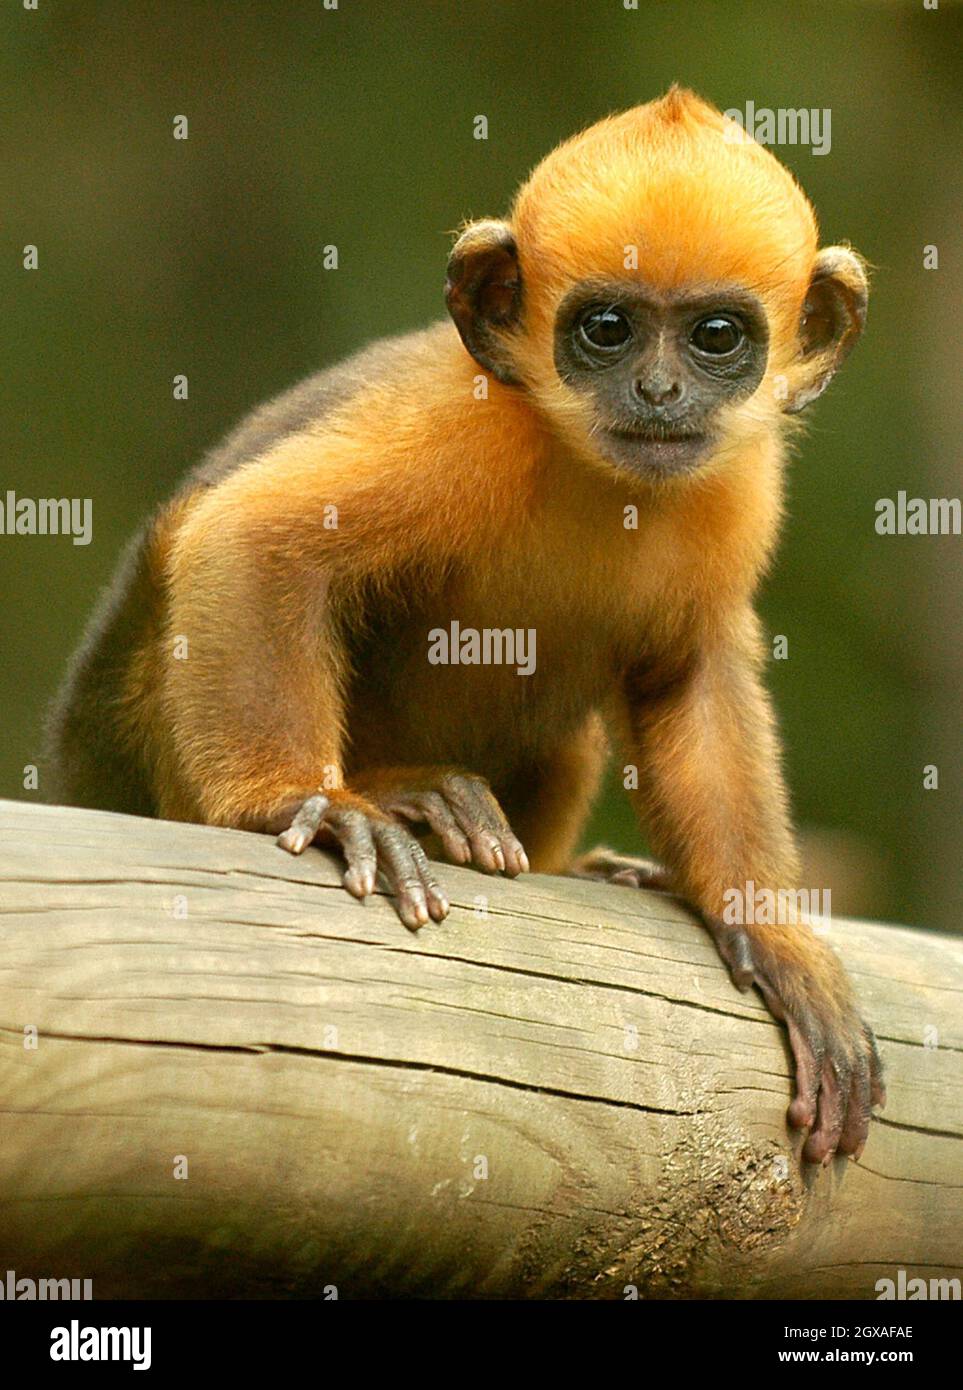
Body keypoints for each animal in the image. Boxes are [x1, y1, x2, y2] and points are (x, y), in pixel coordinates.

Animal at [47, 87, 883, 1164]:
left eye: (714, 337)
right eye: (606, 328)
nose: (659, 394)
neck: (596, 473)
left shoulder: (738, 483)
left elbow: (686, 671)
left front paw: (768, 932)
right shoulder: (463, 423)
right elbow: (251, 534)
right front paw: (304, 805)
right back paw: (409, 795)